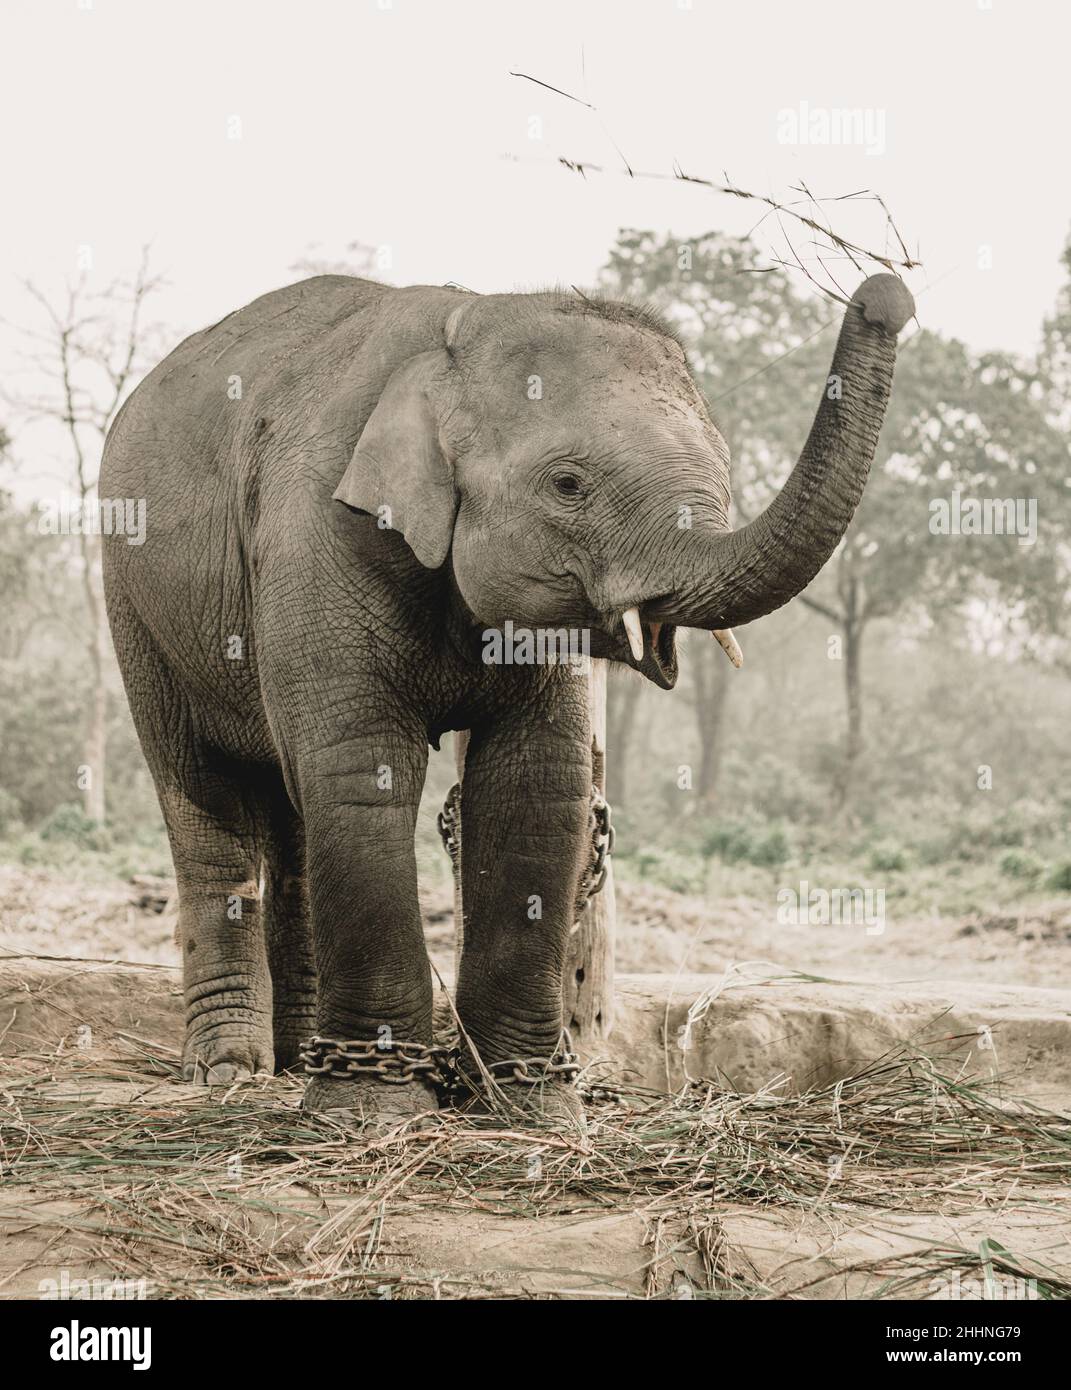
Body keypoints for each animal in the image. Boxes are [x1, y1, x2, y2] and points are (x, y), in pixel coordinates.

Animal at [99, 269, 914, 1127]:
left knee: (291, 815)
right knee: (205, 795)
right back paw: (229, 1071)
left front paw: (529, 1109)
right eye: (568, 484)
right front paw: (373, 1115)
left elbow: (537, 784)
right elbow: (363, 771)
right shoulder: (315, 536)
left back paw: (293, 1063)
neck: (462, 329)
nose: (885, 295)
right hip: (134, 601)